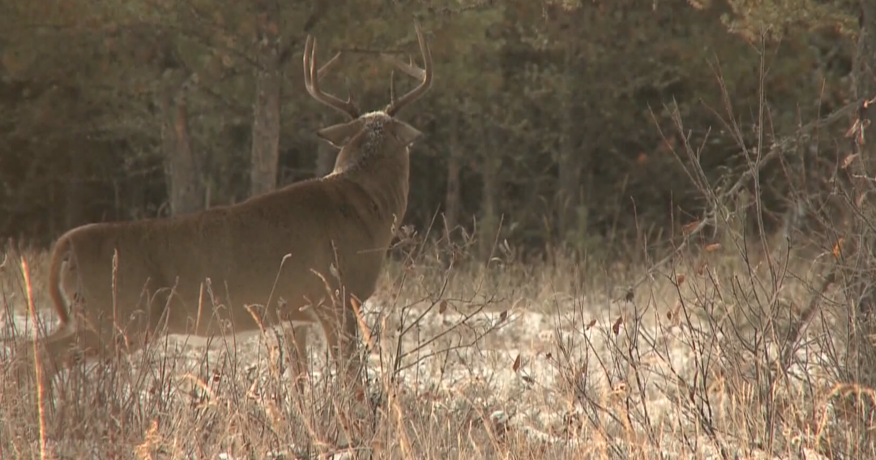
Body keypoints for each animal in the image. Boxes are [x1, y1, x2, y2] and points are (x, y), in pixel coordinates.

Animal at [6, 21, 433, 417]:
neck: (366, 209)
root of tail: (67, 244)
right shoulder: (337, 296)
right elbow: (350, 375)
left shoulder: (294, 314)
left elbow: (299, 380)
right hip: (119, 315)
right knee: (36, 355)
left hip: (93, 315)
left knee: (28, 351)